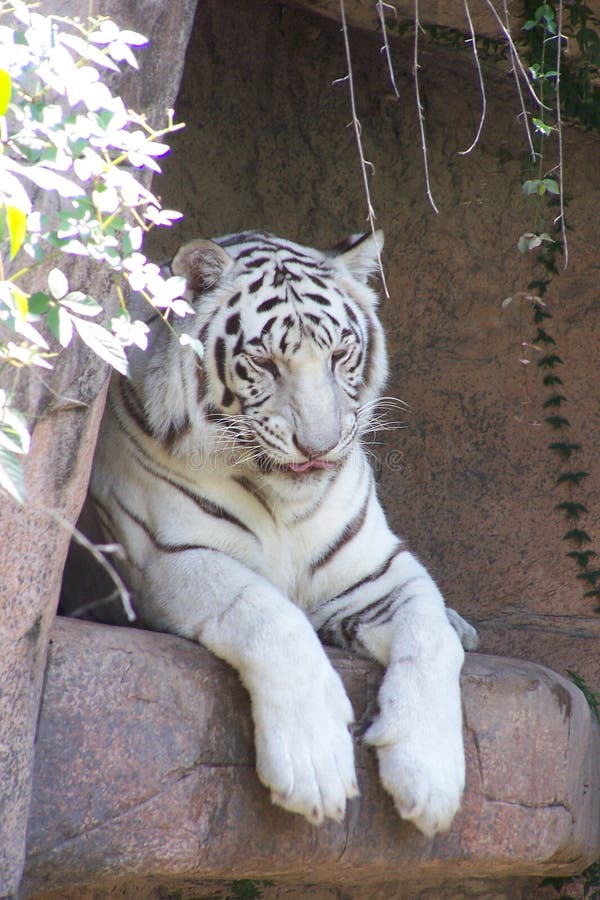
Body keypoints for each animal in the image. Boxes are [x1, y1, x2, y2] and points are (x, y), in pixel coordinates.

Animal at [84, 229, 478, 837]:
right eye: (264, 362)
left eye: (339, 355)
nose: (319, 446)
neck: (283, 503)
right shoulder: (169, 558)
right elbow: (270, 615)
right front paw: (314, 768)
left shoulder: (380, 571)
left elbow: (431, 637)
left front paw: (429, 779)